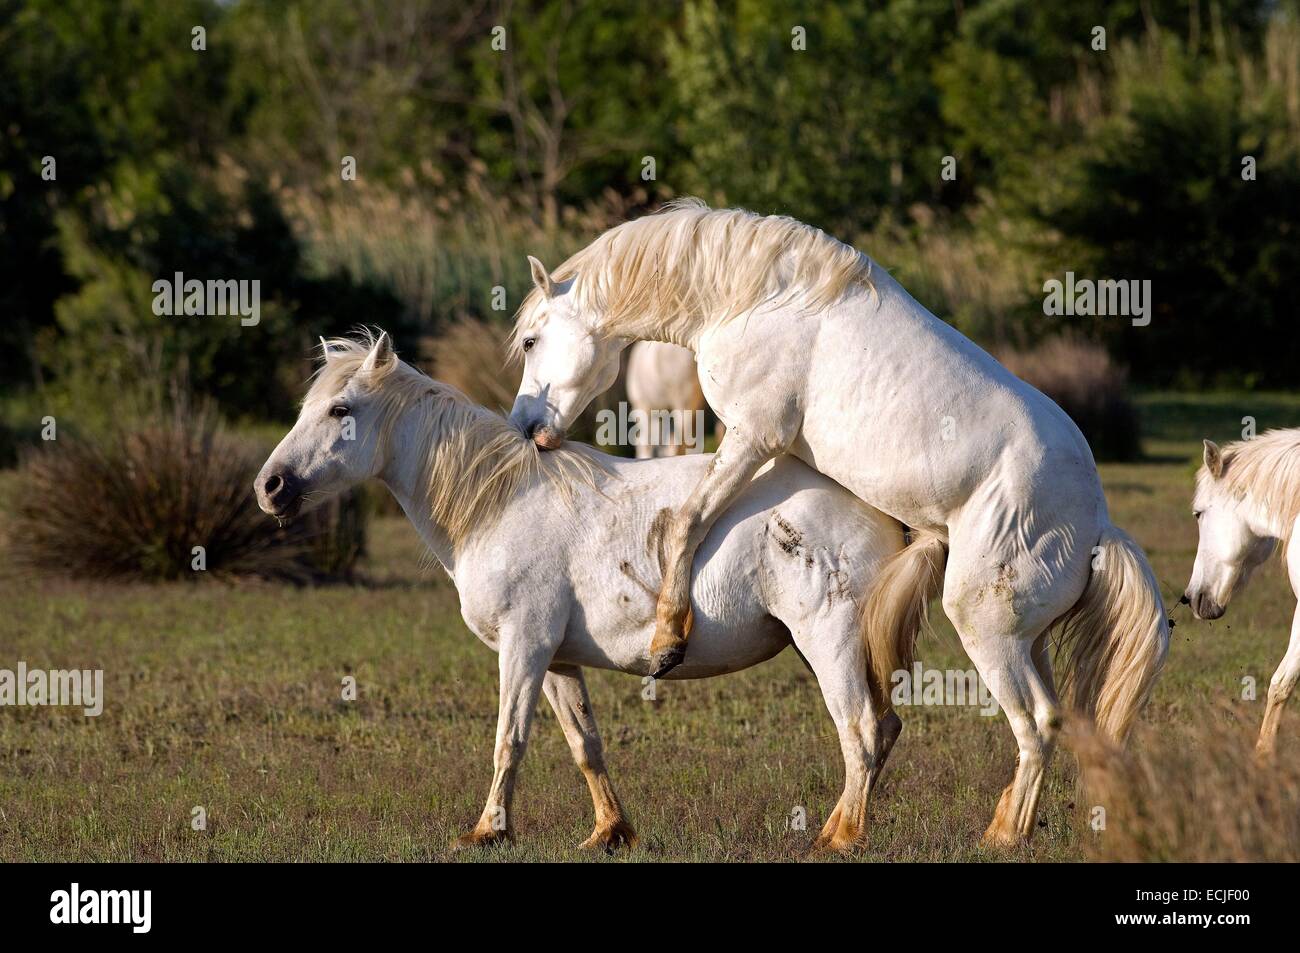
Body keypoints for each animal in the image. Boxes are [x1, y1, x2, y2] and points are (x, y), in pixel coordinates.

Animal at [255, 330, 924, 852]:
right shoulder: (556, 660)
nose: (271, 486)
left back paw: (840, 838)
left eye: (341, 409)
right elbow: (585, 745)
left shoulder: (523, 647)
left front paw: (488, 830)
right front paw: (610, 832)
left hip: (830, 643)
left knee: (861, 732)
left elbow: (508, 740)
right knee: (882, 730)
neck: (500, 503)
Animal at [508, 200, 1170, 844]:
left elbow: (687, 521)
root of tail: (1097, 525)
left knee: (1038, 722)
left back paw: (1001, 836)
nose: (524, 427)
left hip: (986, 628)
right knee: (1051, 718)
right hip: (1028, 640)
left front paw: (669, 639)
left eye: (533, 341)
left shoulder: (754, 435)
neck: (754, 296)